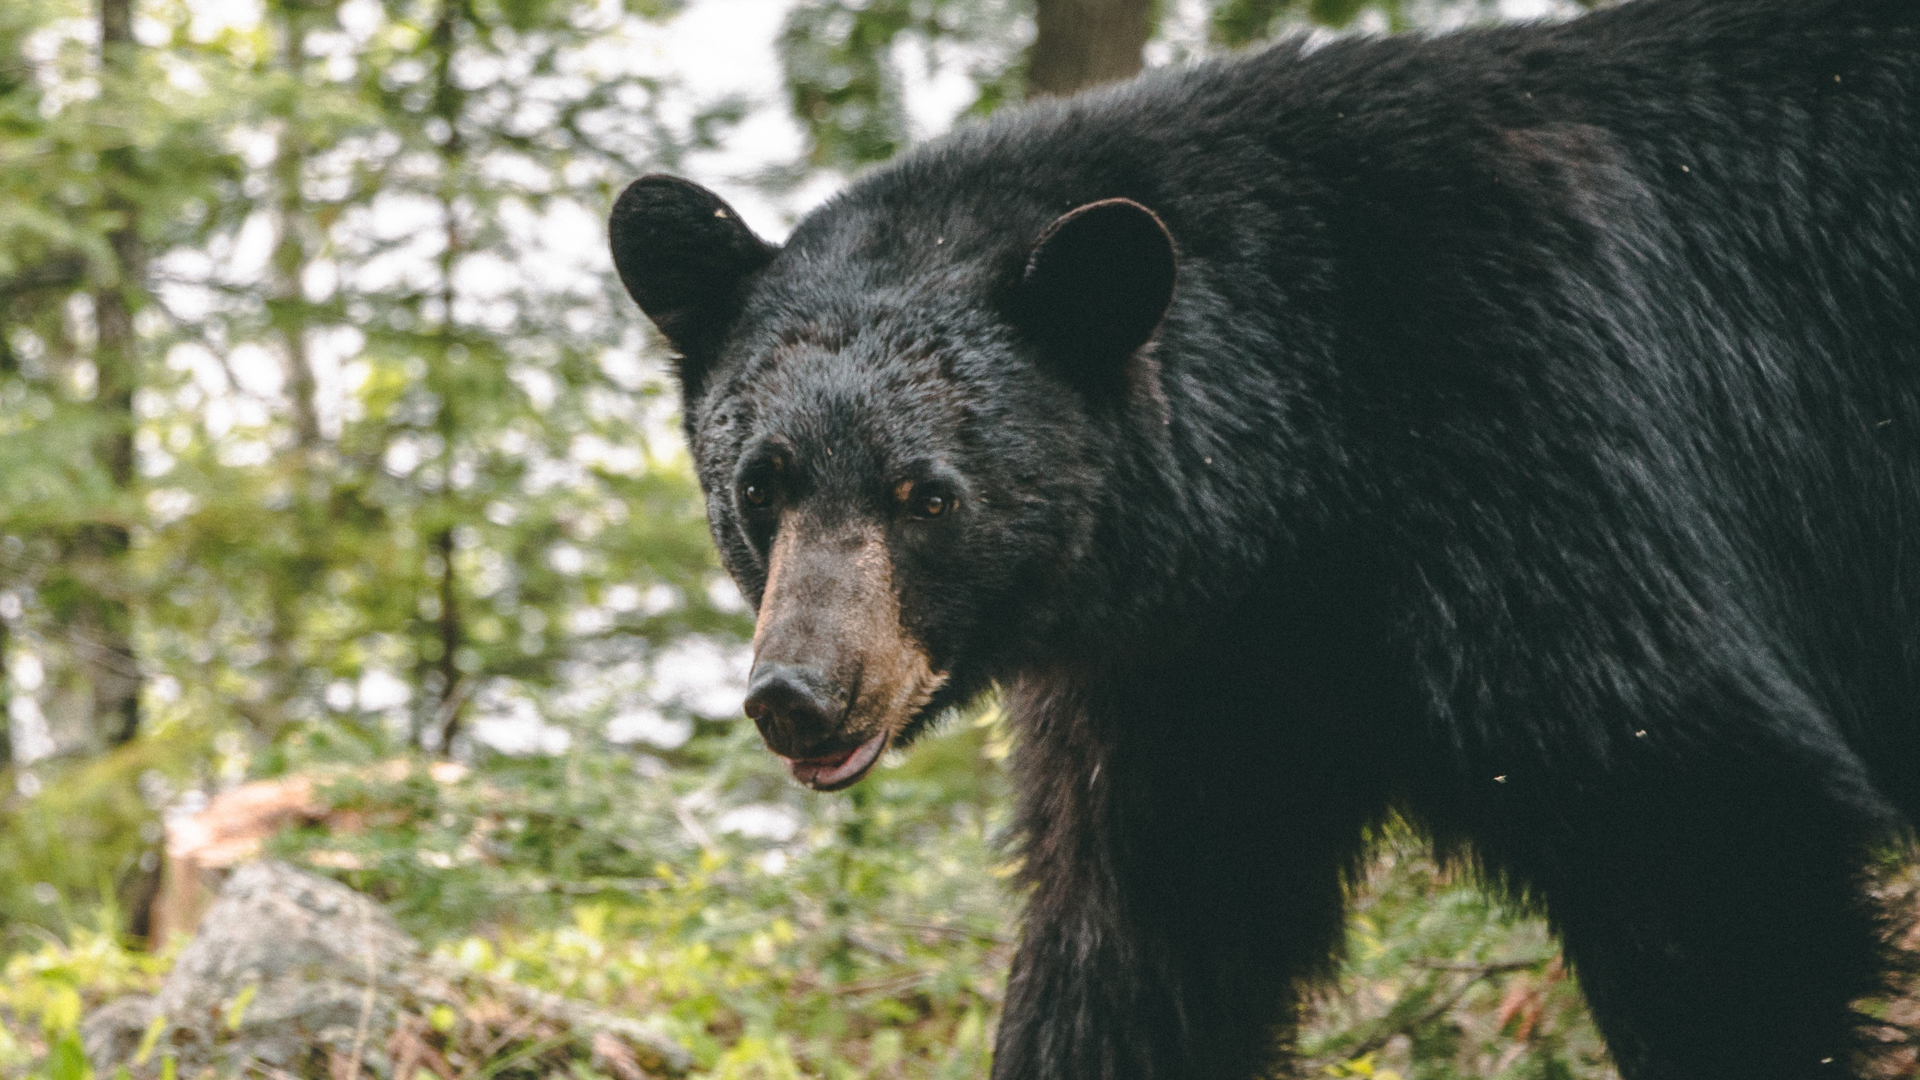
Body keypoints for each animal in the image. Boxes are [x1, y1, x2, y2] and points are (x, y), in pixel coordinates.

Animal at [607, 0, 1920, 1076]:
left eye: (925, 495)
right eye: (760, 486)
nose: (800, 693)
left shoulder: (1547, 440)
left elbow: (1697, 809)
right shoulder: (1205, 674)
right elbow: (1145, 934)